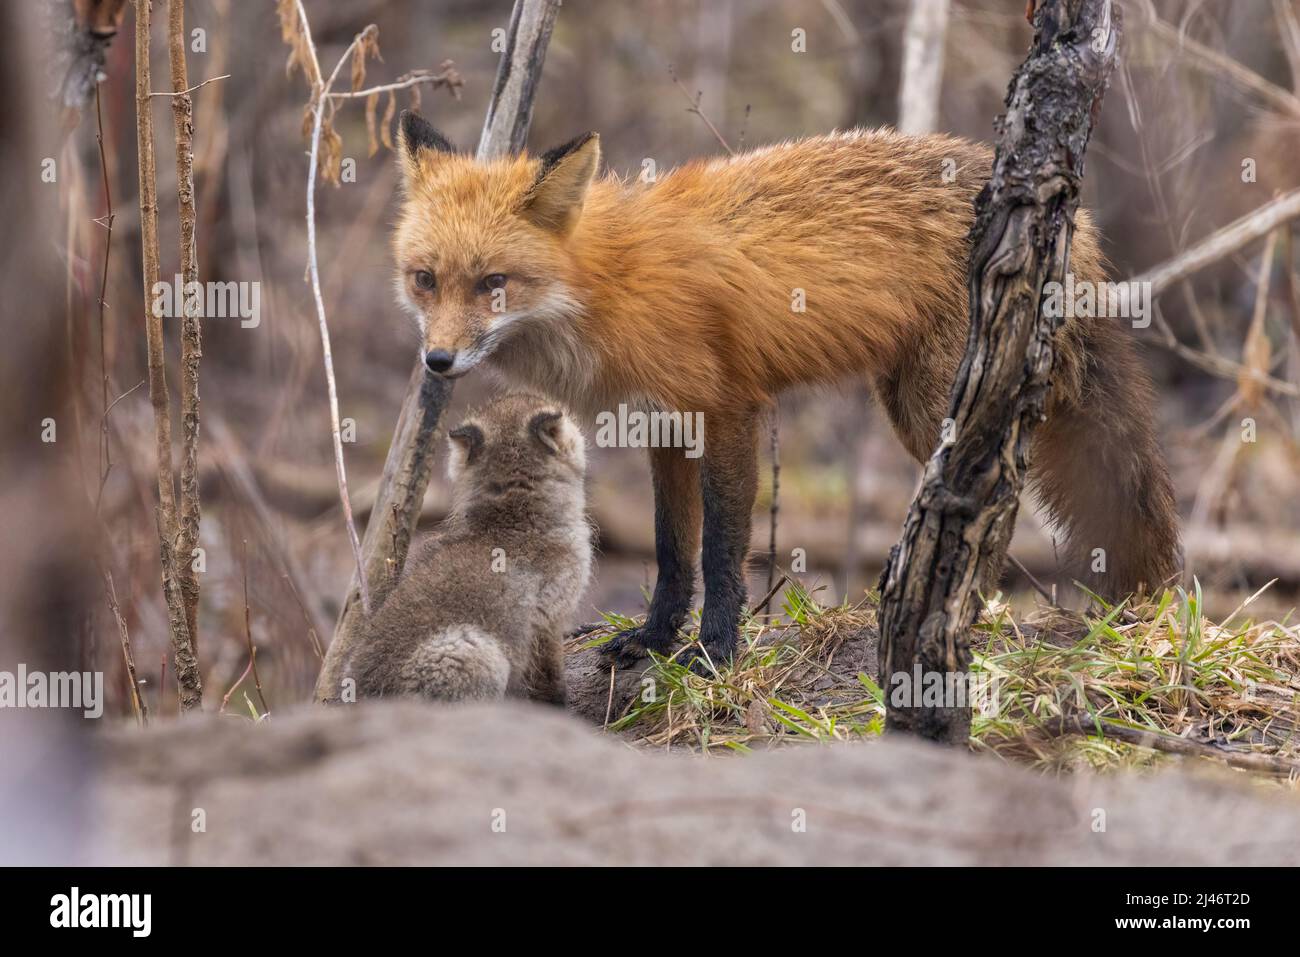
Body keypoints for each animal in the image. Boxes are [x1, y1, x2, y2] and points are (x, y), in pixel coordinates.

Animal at [391, 109, 1181, 670]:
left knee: (997, 500)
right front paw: (653, 639)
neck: (605, 285)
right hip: (911, 401)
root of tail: (1076, 224)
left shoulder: (727, 410)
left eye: (494, 283)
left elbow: (721, 552)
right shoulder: (665, 424)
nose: (436, 360)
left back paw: (959, 609)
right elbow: (672, 550)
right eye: (425, 279)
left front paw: (714, 652)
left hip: (943, 407)